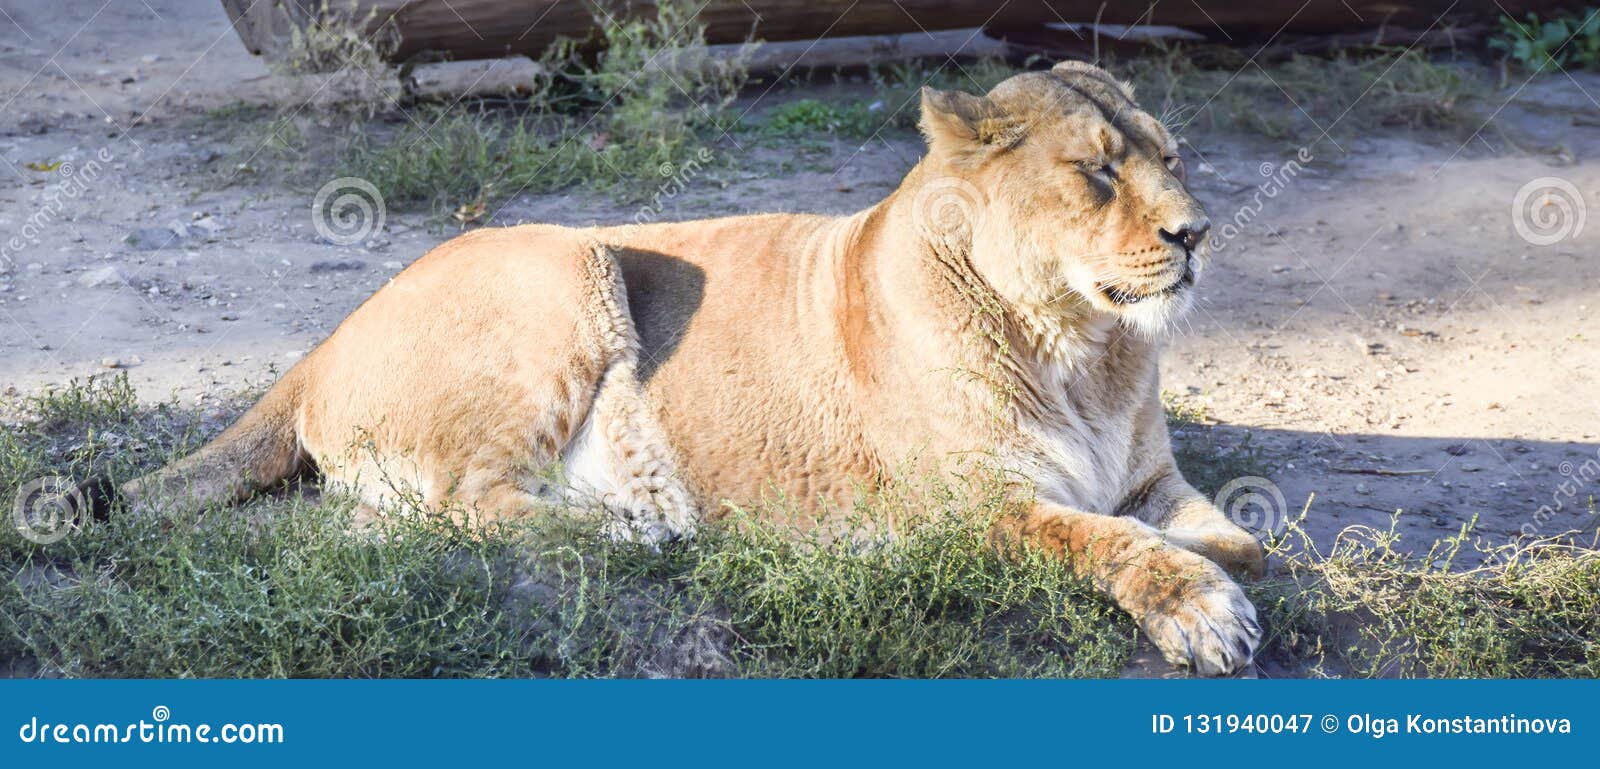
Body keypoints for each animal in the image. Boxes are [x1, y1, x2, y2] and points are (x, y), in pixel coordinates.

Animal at [123, 61, 1266, 676]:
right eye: (1098, 171)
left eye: (1172, 157)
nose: (1197, 232)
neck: (1085, 349)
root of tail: (320, 344)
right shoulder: (970, 506)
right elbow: (1105, 538)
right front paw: (1202, 608)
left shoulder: (1147, 474)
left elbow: (1216, 528)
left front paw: (1224, 557)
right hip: (564, 263)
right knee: (460, 505)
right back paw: (641, 527)